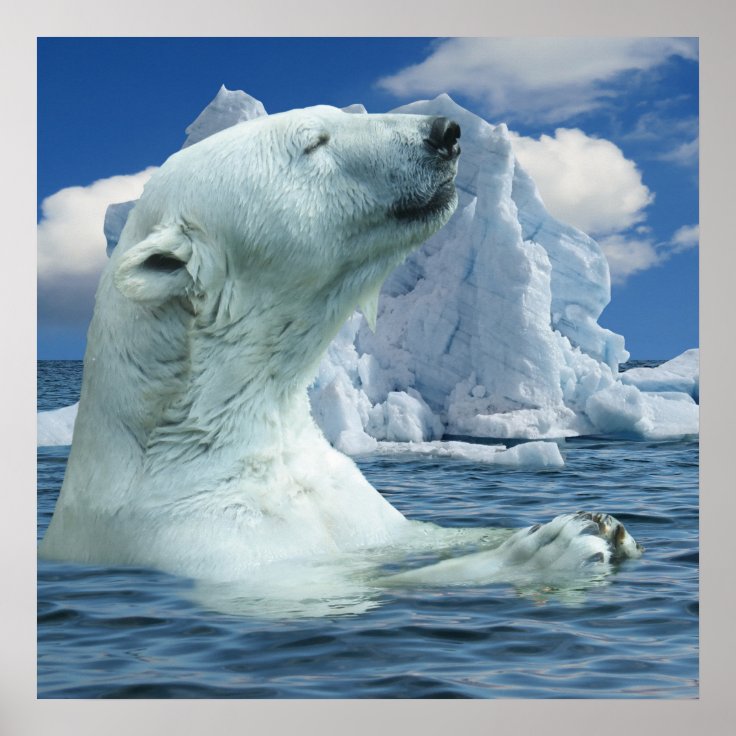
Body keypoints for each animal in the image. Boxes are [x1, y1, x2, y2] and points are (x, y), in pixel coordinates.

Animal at [39, 105, 641, 586]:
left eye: (330, 115)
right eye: (315, 141)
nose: (444, 131)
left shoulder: (359, 508)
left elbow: (419, 534)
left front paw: (593, 524)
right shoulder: (203, 538)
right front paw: (554, 546)